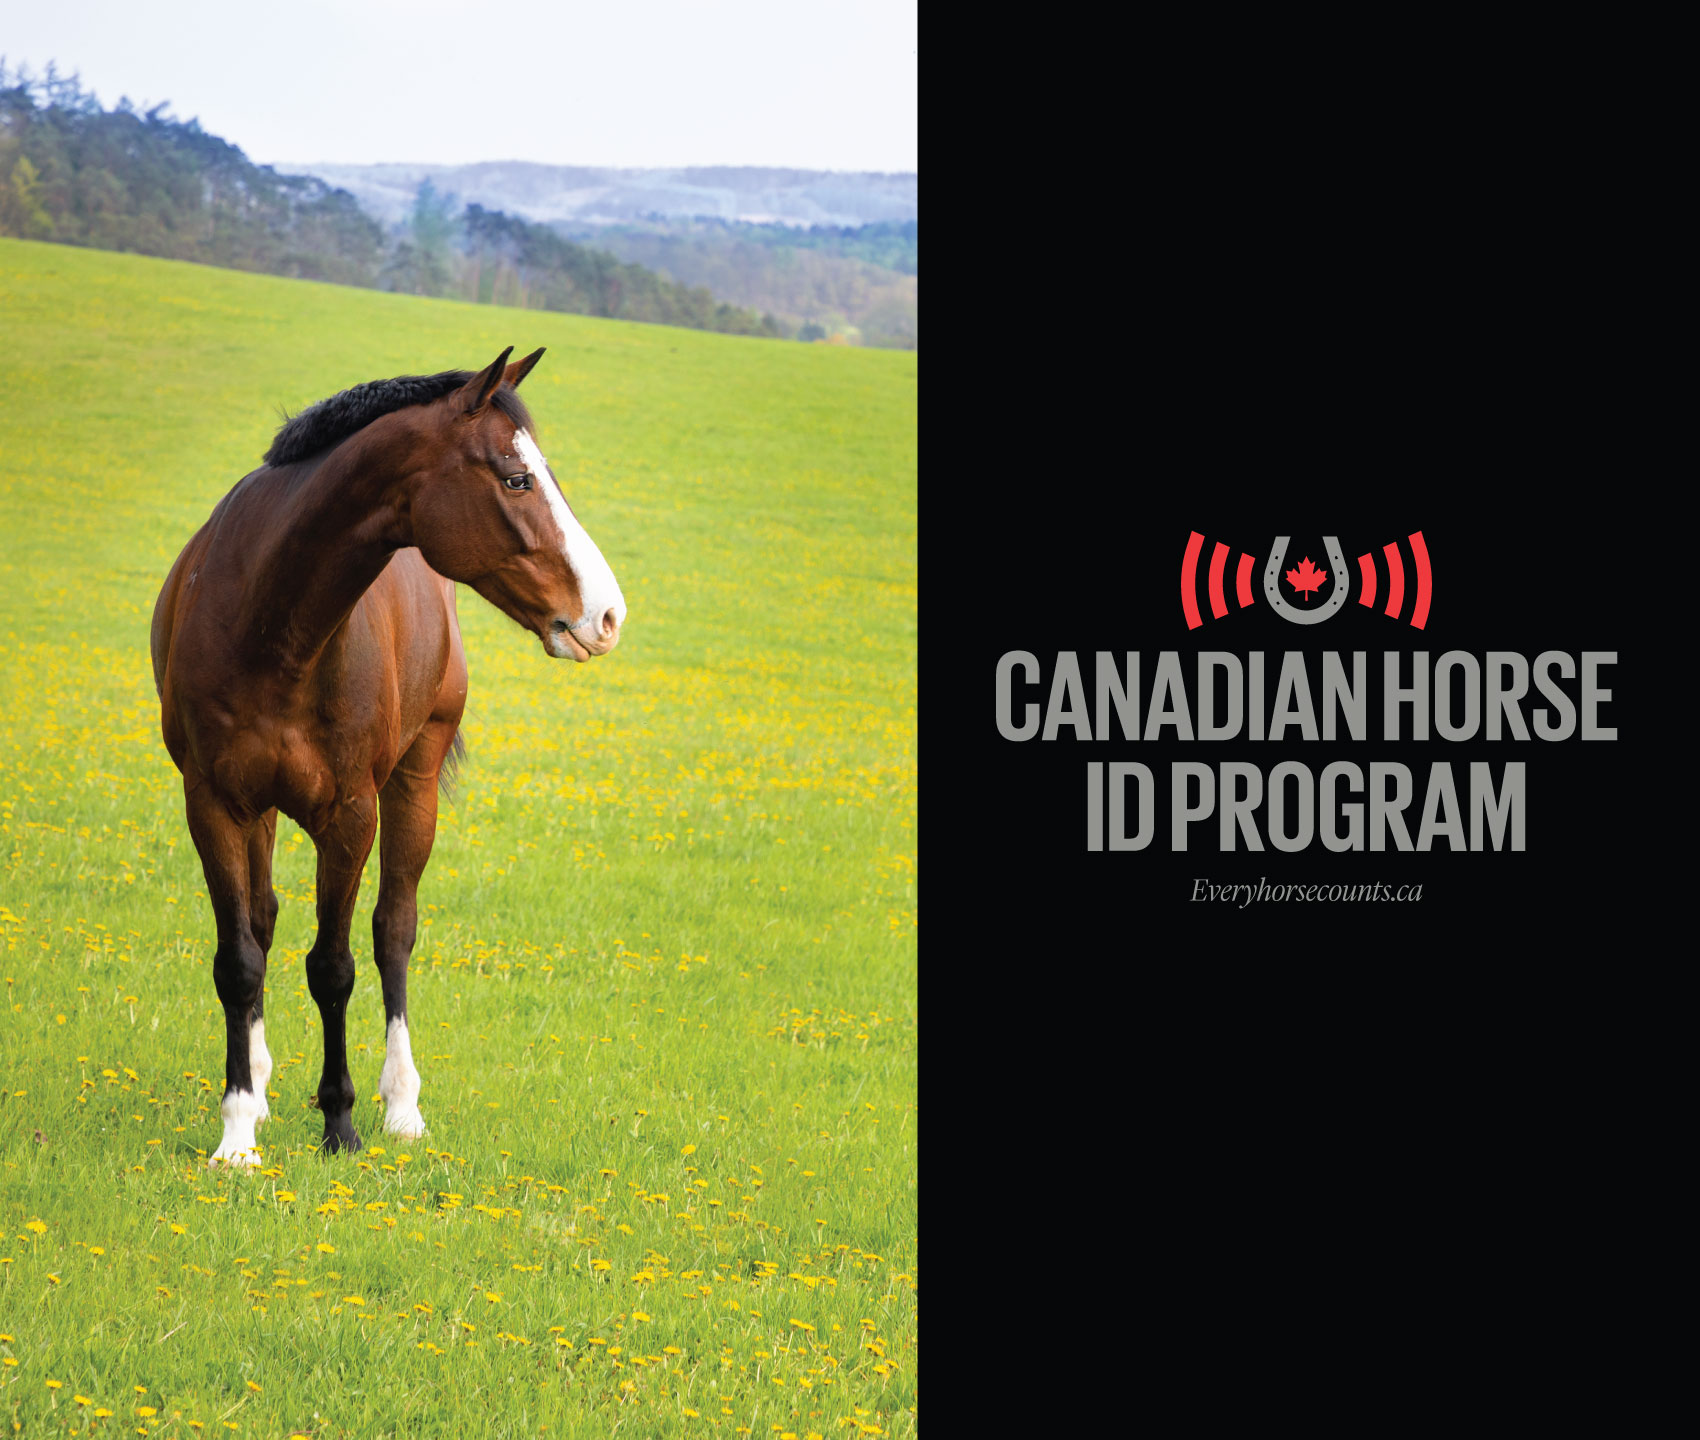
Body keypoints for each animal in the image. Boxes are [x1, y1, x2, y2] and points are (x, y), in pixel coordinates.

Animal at [150, 347, 626, 1165]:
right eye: (516, 479)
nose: (608, 614)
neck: (271, 626)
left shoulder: (350, 815)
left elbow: (335, 966)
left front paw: (339, 1123)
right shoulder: (213, 803)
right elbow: (240, 959)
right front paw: (237, 1130)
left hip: (416, 781)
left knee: (393, 930)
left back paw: (402, 1105)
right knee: (266, 921)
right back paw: (265, 1086)